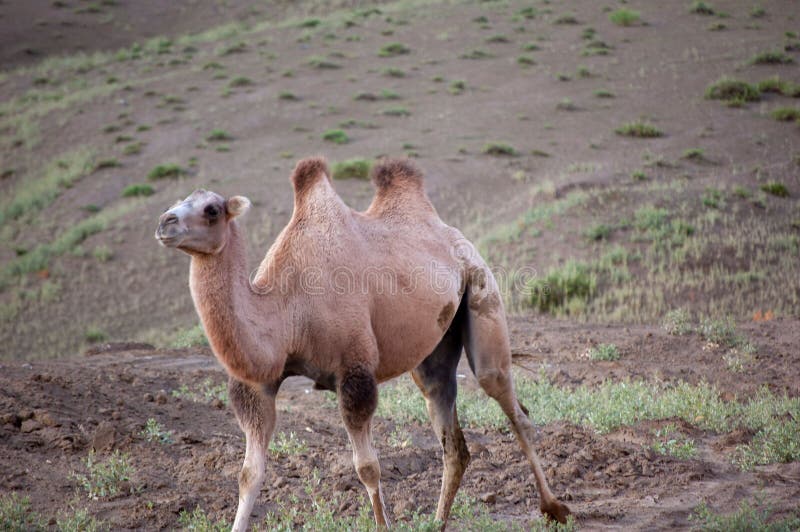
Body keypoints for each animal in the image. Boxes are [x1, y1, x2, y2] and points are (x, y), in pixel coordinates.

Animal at [155, 157, 570, 531]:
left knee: (507, 399)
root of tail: (455, 236)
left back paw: (555, 508)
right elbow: (249, 474)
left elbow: (368, 467)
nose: (164, 222)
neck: (289, 311)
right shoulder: (259, 383)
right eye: (179, 200)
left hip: (483, 289)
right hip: (434, 351)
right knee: (450, 431)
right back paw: (438, 521)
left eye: (211, 209)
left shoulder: (355, 371)